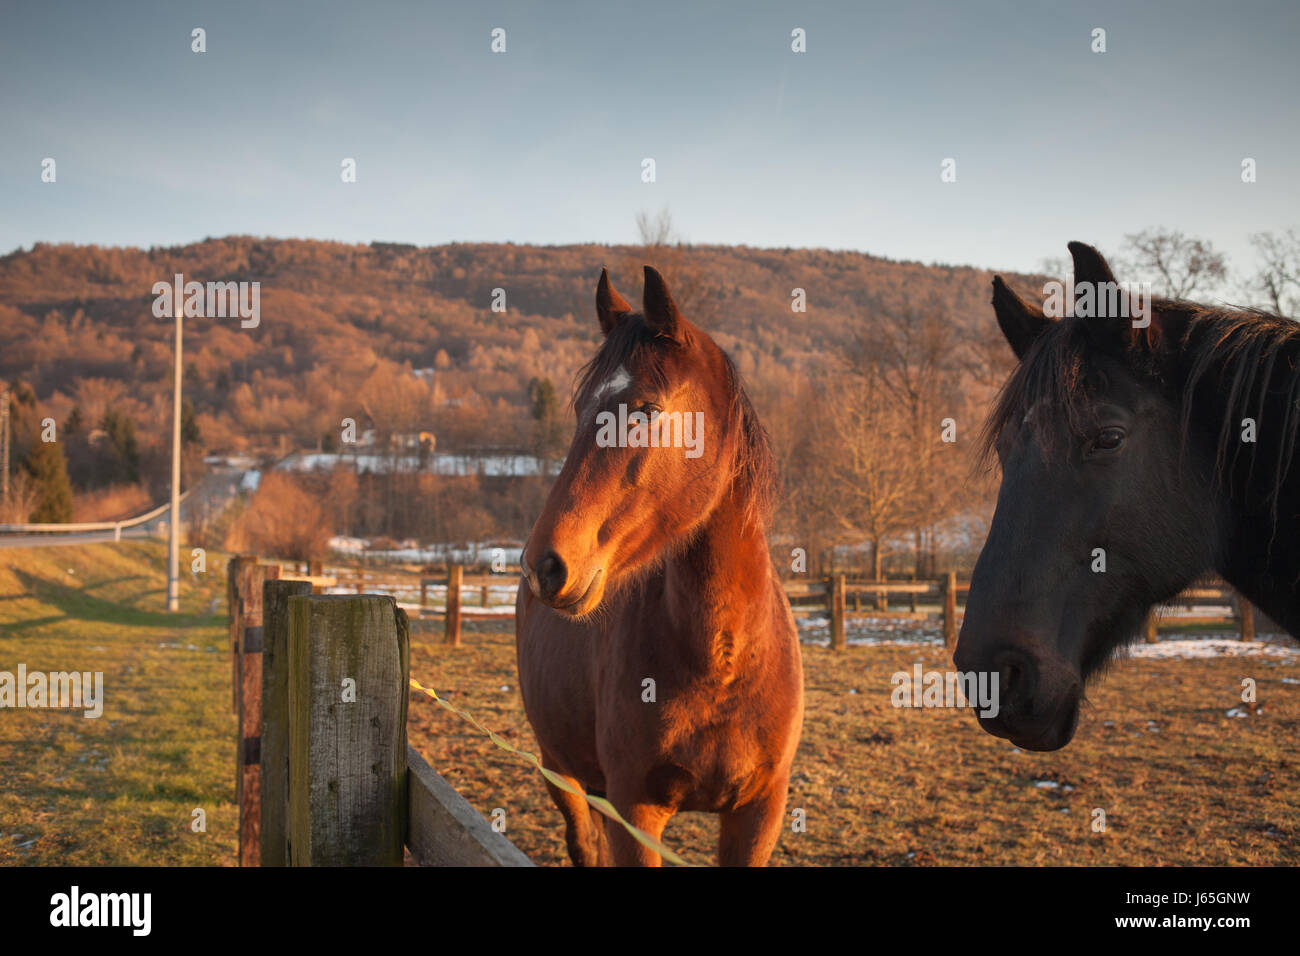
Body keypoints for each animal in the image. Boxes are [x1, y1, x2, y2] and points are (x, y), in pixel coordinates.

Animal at [515, 266, 804, 866]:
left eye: (646, 410)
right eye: (579, 410)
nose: (544, 566)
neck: (722, 662)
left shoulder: (759, 812)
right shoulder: (636, 810)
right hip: (560, 770)